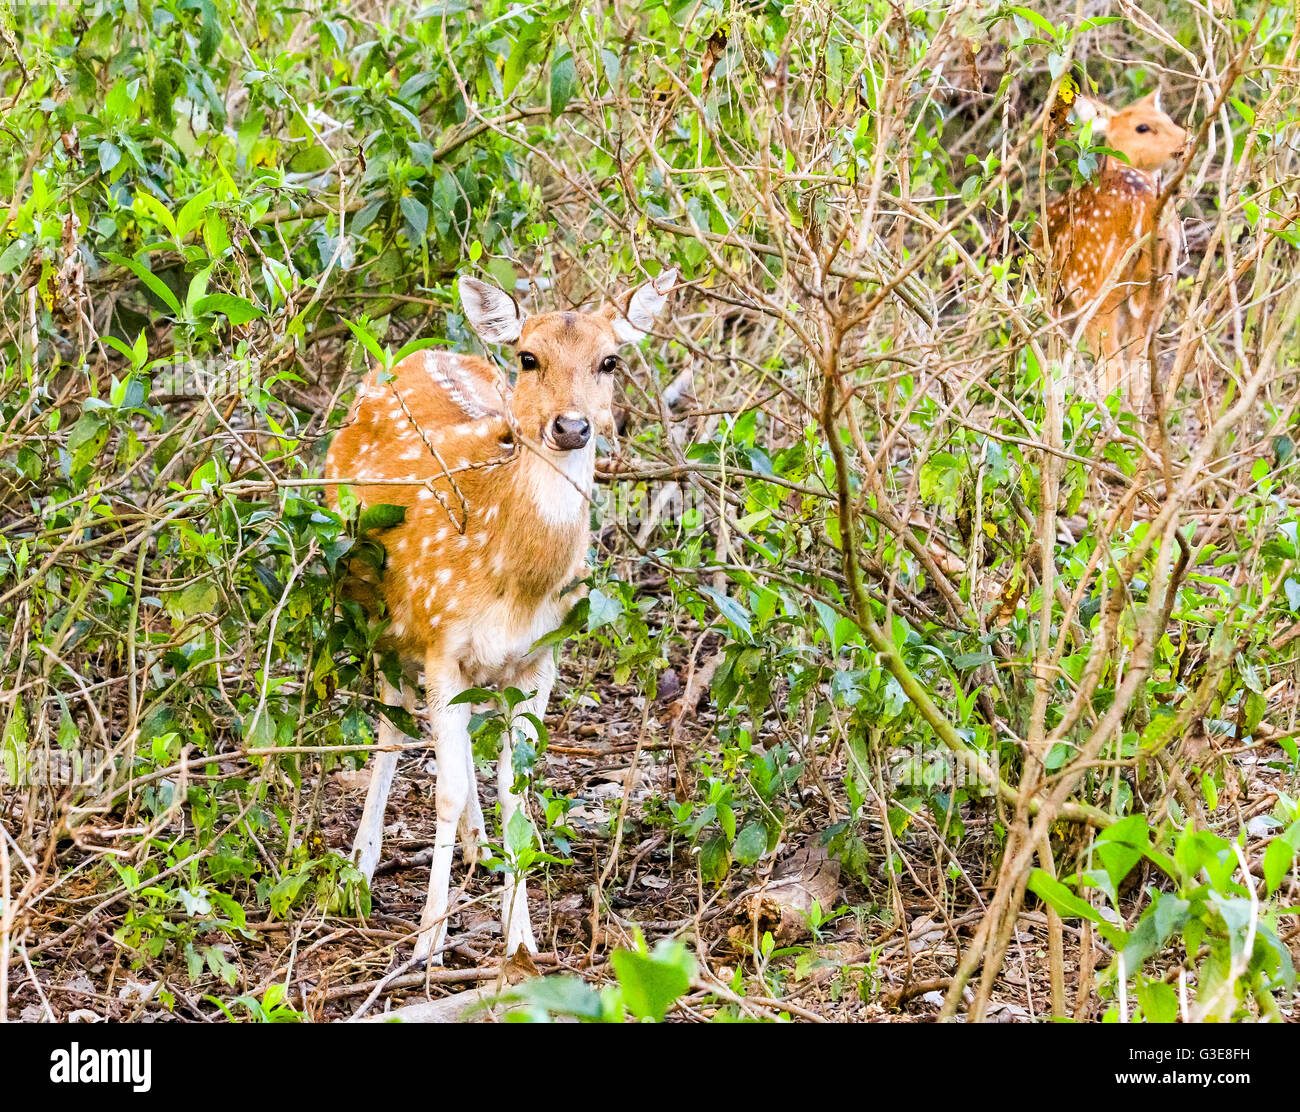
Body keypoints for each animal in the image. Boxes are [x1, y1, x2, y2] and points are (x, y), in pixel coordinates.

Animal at [324, 268, 676, 963]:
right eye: (529, 357)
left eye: (610, 361)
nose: (571, 426)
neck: (514, 579)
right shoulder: (439, 639)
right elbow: (444, 788)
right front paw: (428, 942)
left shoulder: (541, 659)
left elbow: (515, 785)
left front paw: (523, 941)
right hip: (375, 609)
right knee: (391, 728)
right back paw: (360, 868)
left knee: (453, 742)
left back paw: (478, 848)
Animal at [1040, 90, 1188, 411]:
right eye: (1143, 126)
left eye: (1168, 118)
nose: (1185, 140)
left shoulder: (1056, 298)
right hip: (1159, 291)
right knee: (1137, 368)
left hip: (1095, 291)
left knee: (1111, 367)